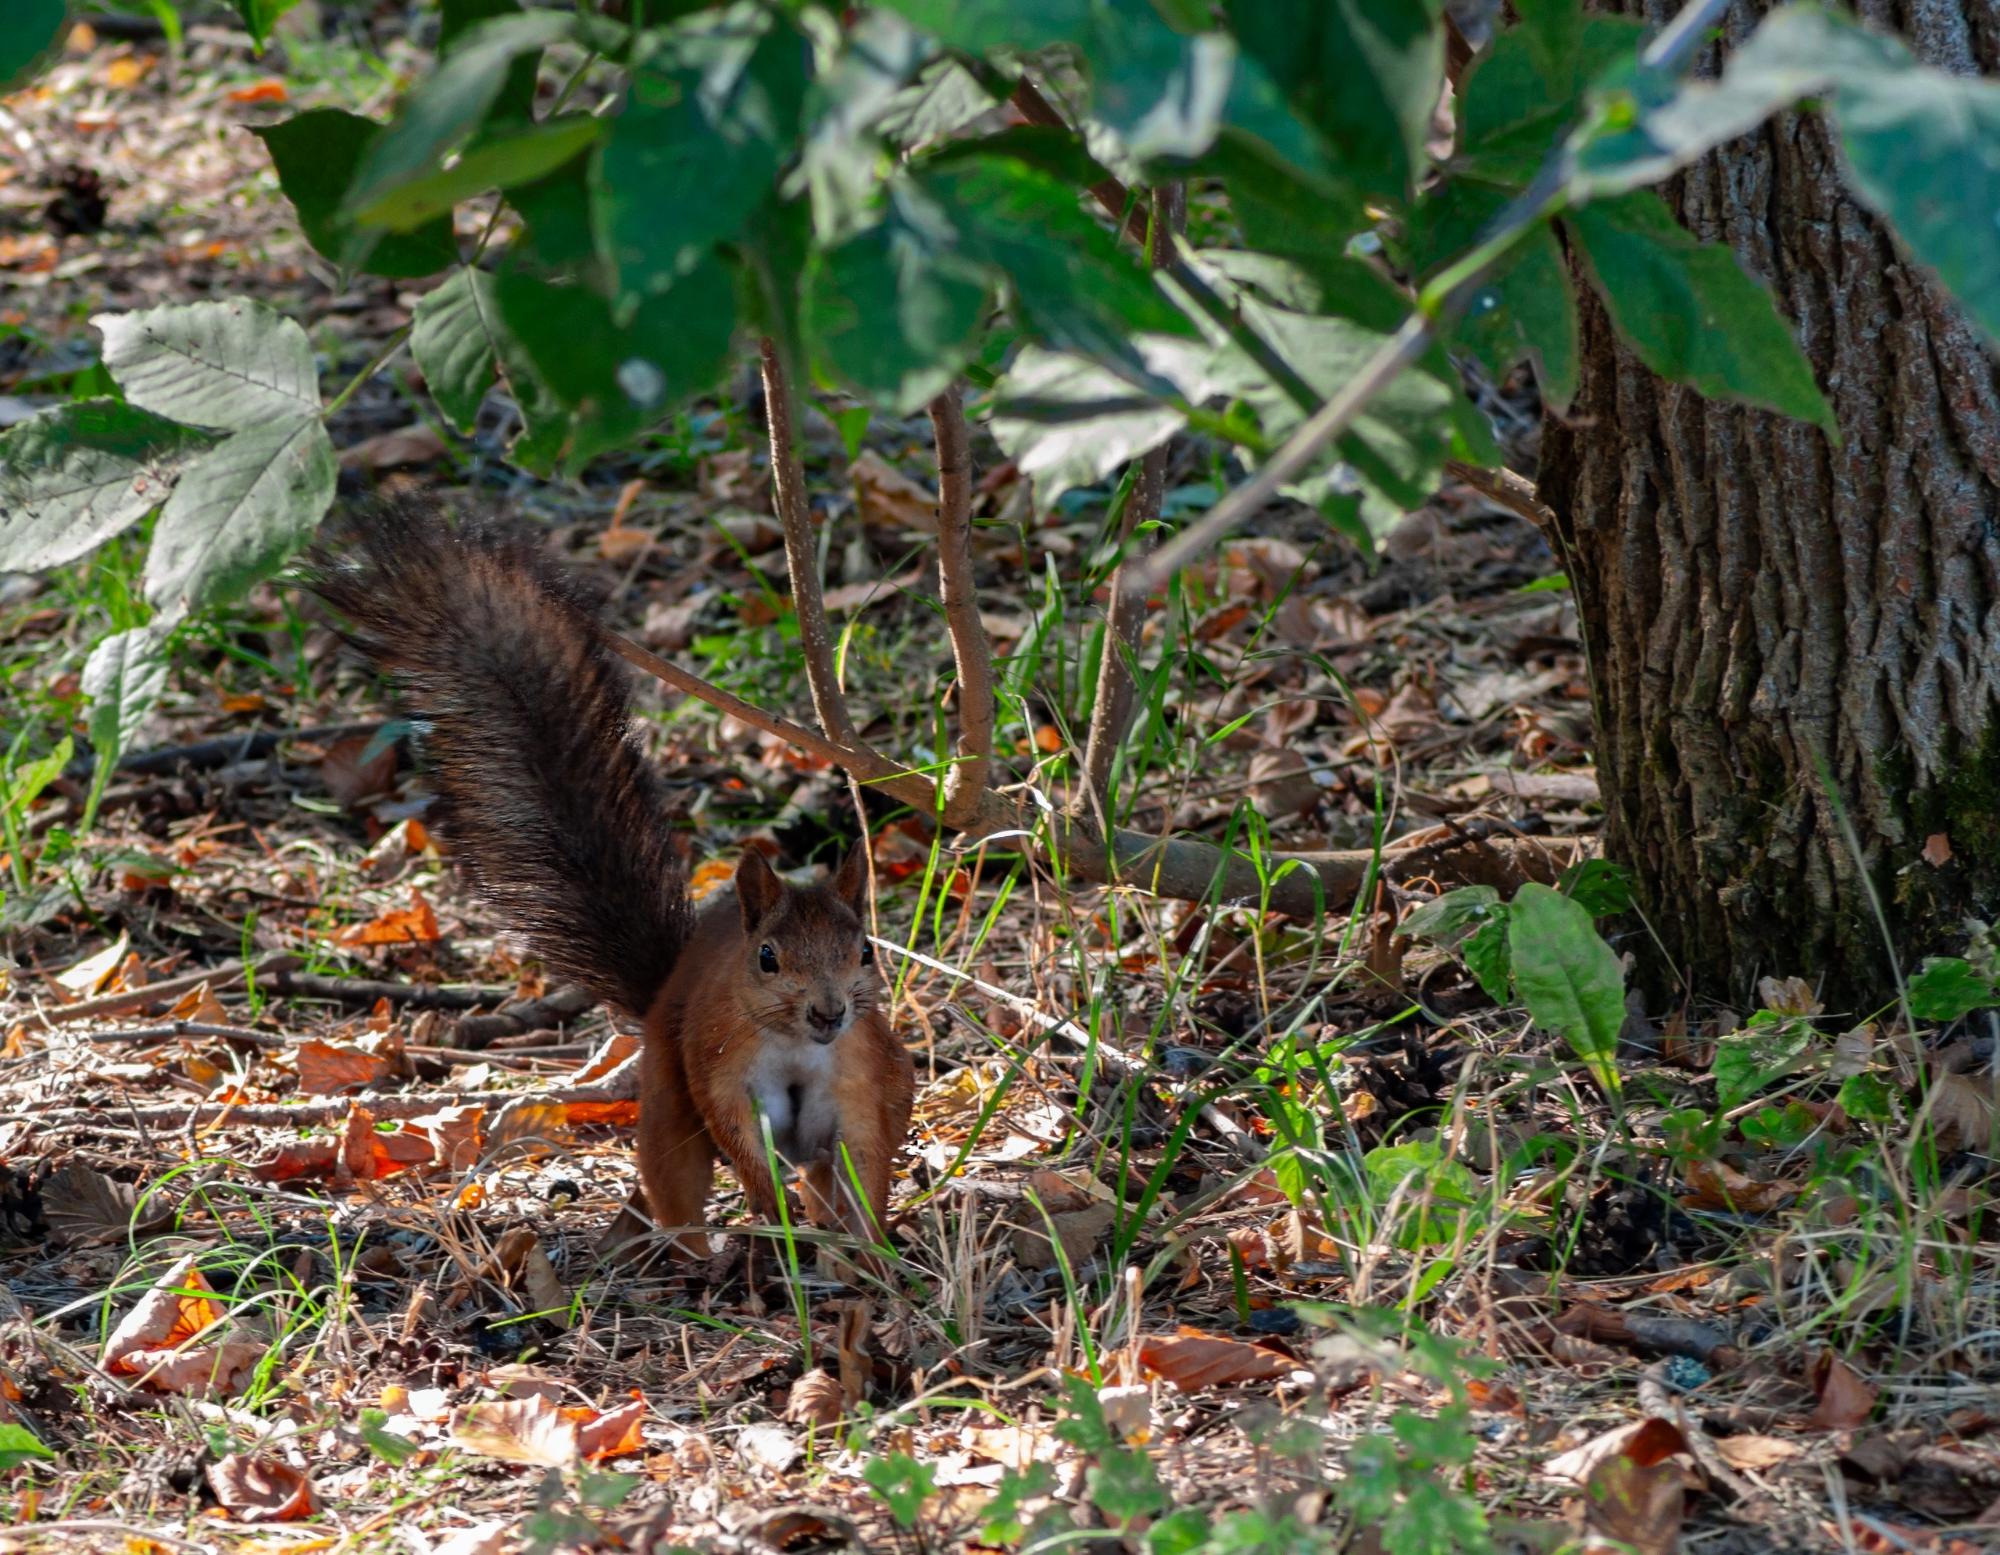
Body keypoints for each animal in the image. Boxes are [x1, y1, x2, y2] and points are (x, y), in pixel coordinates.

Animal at [308, 503, 916, 1263]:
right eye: (768, 958)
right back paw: (700, 1254)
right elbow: (733, 1131)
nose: (829, 1012)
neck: (800, 1047)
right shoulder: (717, 1063)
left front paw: (870, 1248)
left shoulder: (866, 1078)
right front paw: (765, 1200)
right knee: (676, 1179)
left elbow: (868, 1159)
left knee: (822, 1178)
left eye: (866, 951)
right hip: (665, 1101)